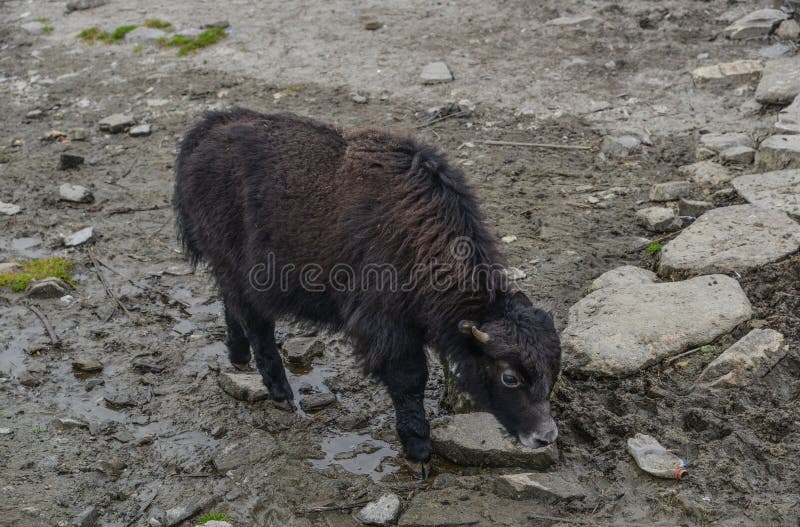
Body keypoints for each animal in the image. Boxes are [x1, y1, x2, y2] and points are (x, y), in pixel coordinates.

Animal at [173, 108, 561, 476]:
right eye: (509, 377)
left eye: (552, 372)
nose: (545, 437)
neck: (418, 234)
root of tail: (206, 132)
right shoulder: (387, 326)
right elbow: (409, 380)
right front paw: (419, 455)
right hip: (238, 270)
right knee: (257, 324)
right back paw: (281, 393)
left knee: (233, 308)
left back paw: (238, 358)